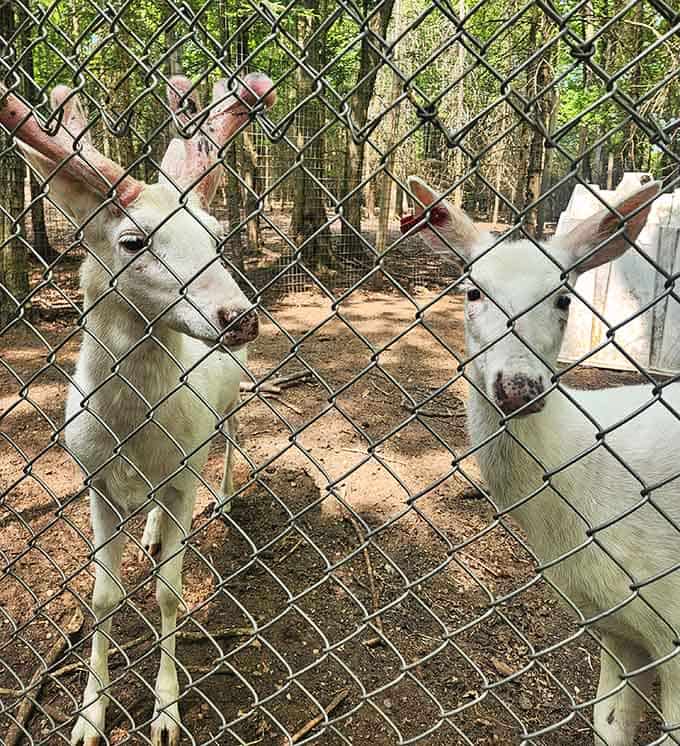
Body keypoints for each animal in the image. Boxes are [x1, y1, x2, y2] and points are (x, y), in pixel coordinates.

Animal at [0, 72, 275, 746]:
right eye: (132, 240)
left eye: (216, 236)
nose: (241, 315)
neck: (131, 434)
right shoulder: (94, 480)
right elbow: (102, 596)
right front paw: (87, 719)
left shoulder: (182, 473)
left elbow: (171, 594)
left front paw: (167, 715)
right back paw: (148, 531)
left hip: (230, 402)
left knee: (231, 439)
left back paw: (224, 499)